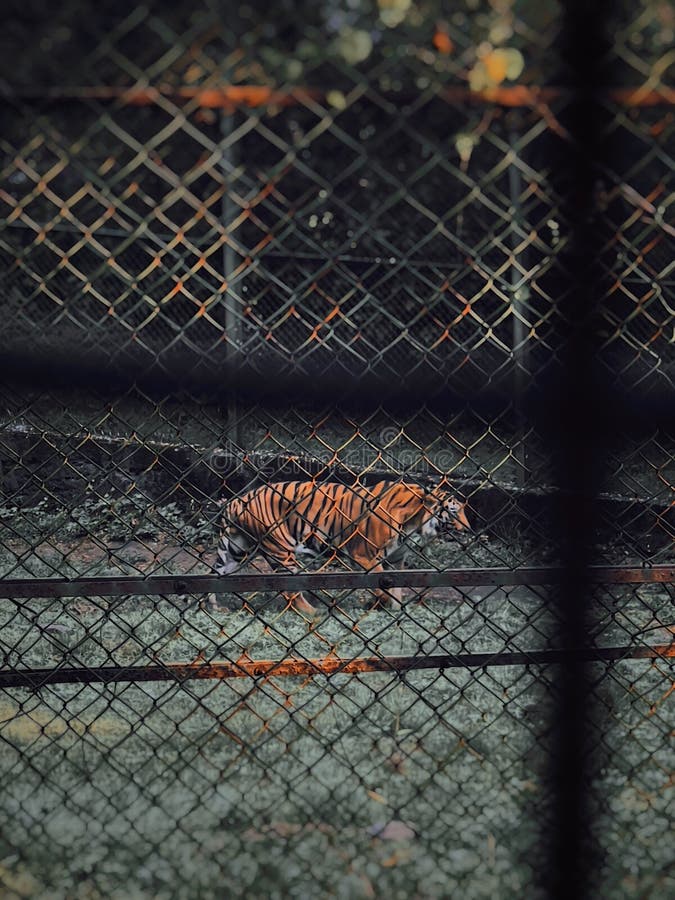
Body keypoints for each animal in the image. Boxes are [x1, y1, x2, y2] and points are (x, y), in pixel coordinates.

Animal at [212, 480, 470, 614]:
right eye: (454, 512)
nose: (468, 528)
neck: (415, 524)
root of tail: (236, 501)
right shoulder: (365, 556)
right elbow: (381, 586)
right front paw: (380, 605)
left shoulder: (395, 560)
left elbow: (395, 588)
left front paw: (395, 611)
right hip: (281, 550)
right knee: (291, 591)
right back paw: (314, 614)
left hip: (234, 549)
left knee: (214, 573)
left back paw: (213, 608)